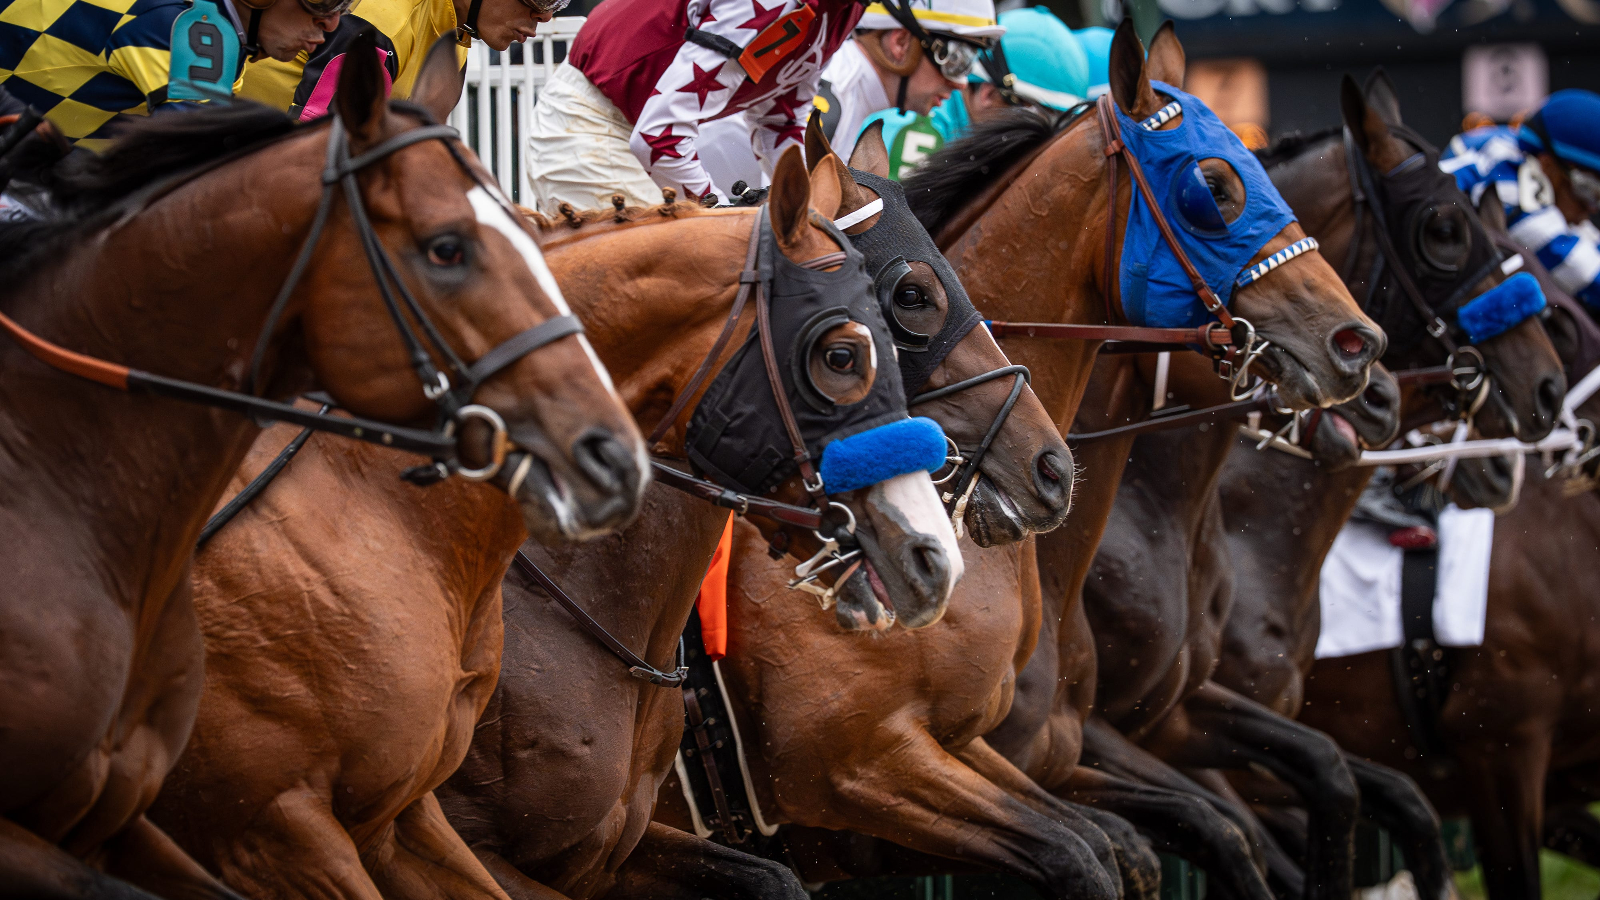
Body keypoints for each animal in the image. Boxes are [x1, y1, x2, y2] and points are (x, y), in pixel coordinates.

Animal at [146, 141, 961, 900]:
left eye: (896, 314)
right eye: (845, 351)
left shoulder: (597, 850)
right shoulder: (290, 830)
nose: (934, 556)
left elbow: (773, 877)